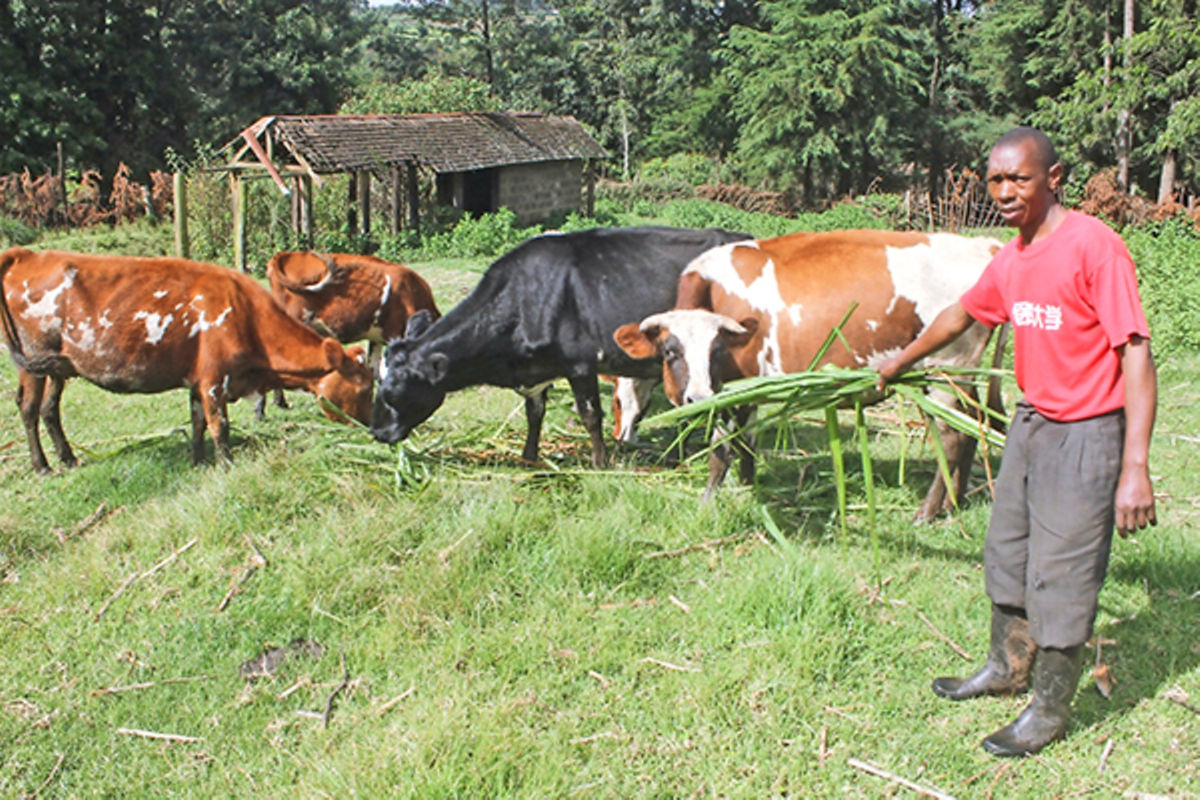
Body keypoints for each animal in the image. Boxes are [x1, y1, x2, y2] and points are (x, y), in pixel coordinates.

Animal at [0, 247, 374, 473]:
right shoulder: (212, 380)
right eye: (365, 389)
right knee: (29, 408)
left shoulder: (197, 380)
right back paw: (42, 465)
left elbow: (197, 423)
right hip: (32, 362)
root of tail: (28, 255)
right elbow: (219, 425)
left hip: (58, 368)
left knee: (49, 409)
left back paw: (68, 457)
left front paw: (197, 461)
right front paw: (226, 464)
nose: (372, 426)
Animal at [370, 226, 752, 465]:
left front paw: (599, 463)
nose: (376, 432)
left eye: (393, 393)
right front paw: (528, 458)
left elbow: (590, 416)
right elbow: (534, 413)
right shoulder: (537, 369)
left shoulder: (580, 362)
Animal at [612, 229, 1006, 521]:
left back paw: (928, 510)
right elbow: (746, 446)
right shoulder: (747, 389)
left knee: (952, 437)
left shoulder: (732, 388)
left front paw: (708, 503)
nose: (698, 398)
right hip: (955, 375)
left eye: (717, 349)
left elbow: (721, 451)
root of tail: (983, 244)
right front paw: (746, 487)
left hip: (944, 367)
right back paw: (953, 503)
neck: (715, 289)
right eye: (670, 351)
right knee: (973, 426)